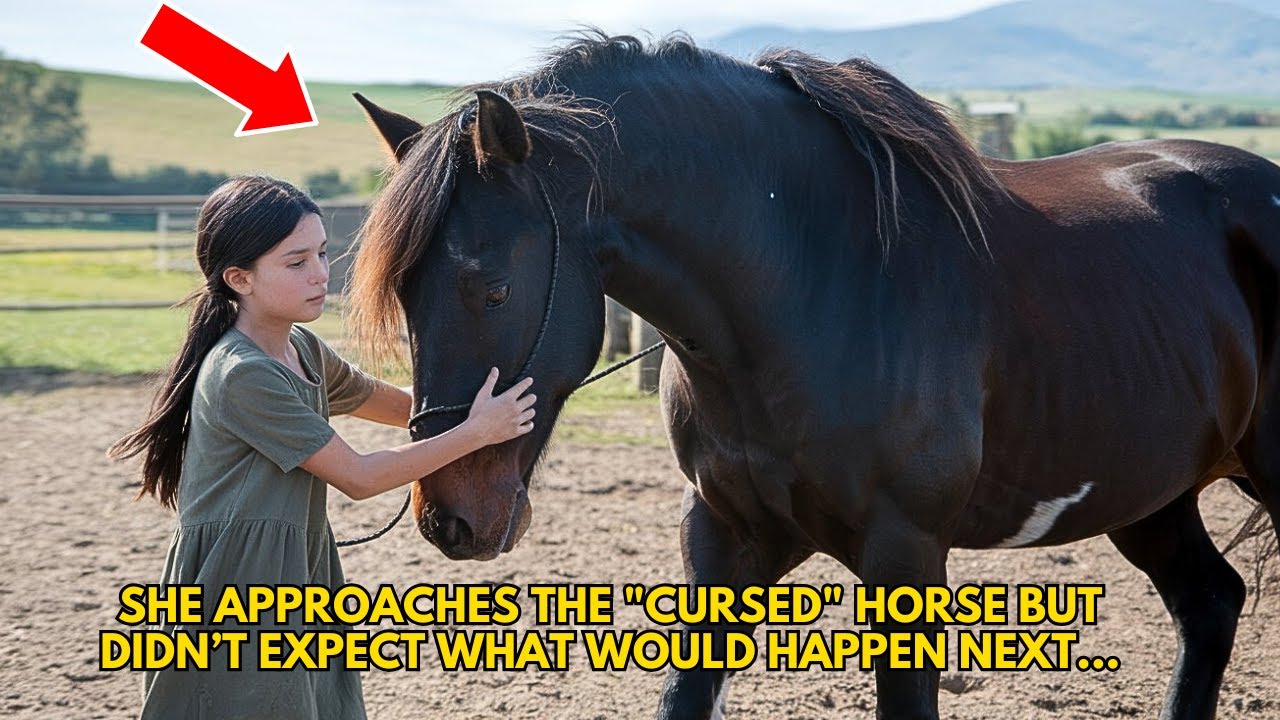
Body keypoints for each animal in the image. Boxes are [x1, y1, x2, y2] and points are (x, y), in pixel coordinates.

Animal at [348, 33, 1280, 719]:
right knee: (1210, 605)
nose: (449, 520)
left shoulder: (906, 554)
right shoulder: (725, 538)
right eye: (405, 294)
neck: (815, 285)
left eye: (491, 286)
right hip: (1152, 497)